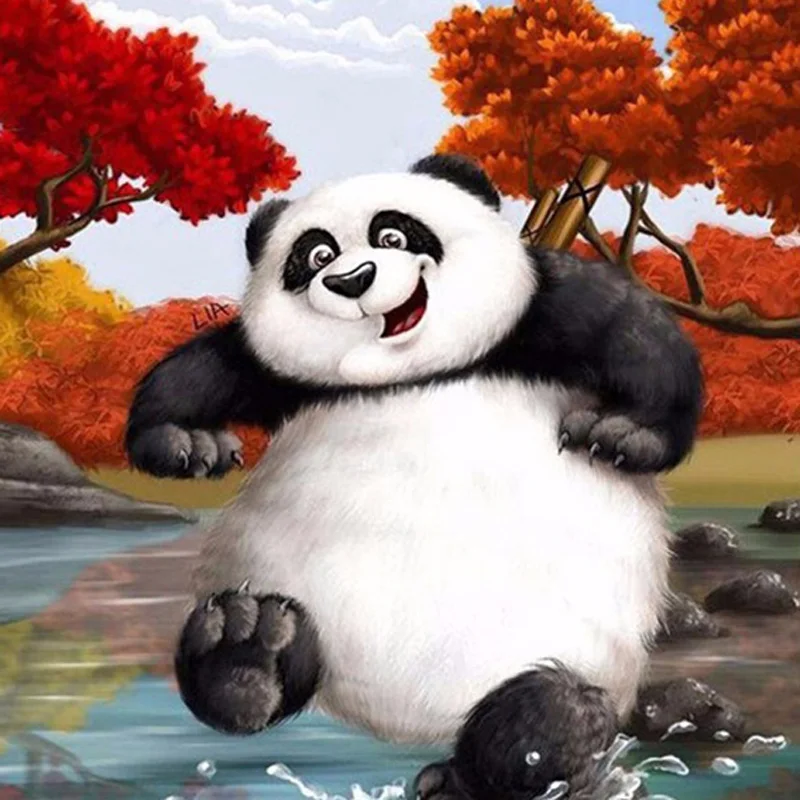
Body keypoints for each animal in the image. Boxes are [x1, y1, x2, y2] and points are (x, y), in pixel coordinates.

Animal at [125, 154, 703, 799]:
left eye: (393, 235)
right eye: (316, 255)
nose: (352, 280)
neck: (408, 372)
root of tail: (406, 726)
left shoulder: (537, 310)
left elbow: (630, 332)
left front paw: (624, 432)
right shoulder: (279, 375)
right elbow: (203, 371)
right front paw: (188, 443)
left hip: (566, 660)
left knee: (549, 715)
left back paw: (478, 769)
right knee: (275, 645)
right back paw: (244, 658)